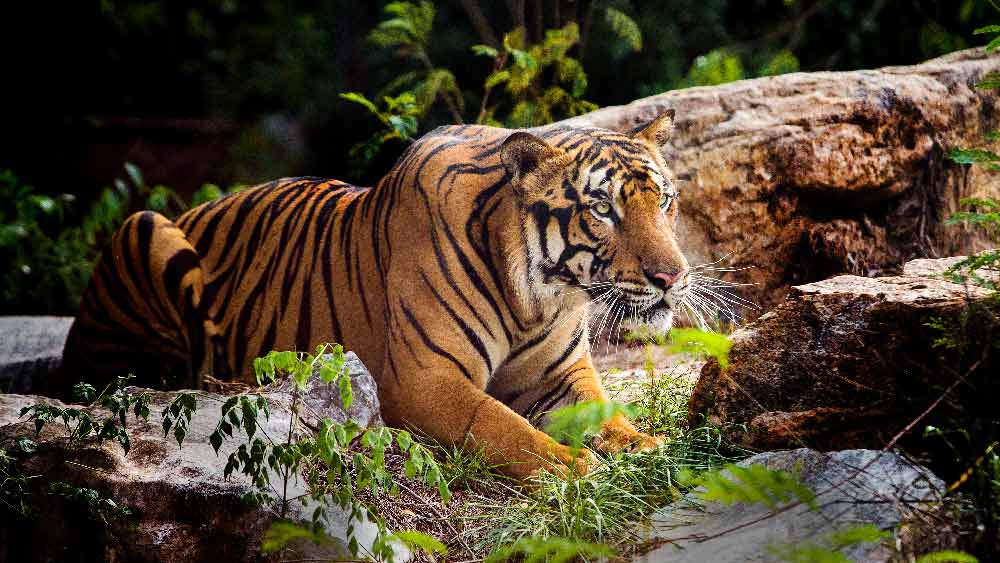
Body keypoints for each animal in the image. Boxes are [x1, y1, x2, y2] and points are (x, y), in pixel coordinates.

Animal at [53, 110, 690, 479]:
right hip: (144, 225)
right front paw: (579, 467)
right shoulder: (424, 381)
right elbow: (508, 432)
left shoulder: (560, 375)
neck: (542, 296)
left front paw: (648, 446)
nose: (672, 277)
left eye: (664, 201)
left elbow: (609, 415)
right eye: (602, 209)